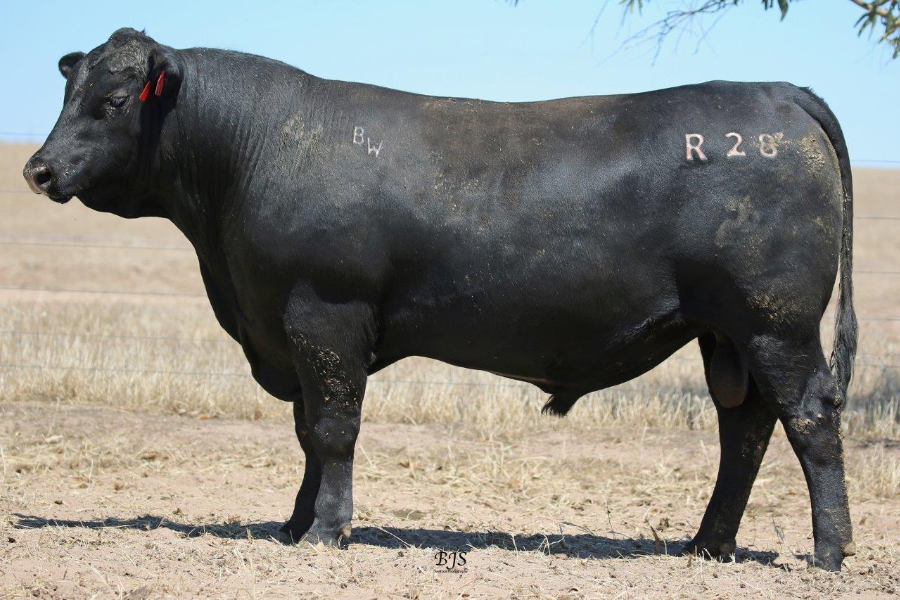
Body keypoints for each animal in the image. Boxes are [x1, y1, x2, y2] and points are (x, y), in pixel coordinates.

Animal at [24, 28, 857, 571]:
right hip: (726, 333)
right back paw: (707, 546)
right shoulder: (291, 328)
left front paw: (327, 532)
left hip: (776, 324)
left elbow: (333, 428)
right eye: (69, 89)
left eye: (115, 98)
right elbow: (306, 432)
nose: (38, 169)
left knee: (809, 417)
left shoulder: (324, 312)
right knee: (745, 430)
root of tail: (778, 91)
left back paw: (827, 552)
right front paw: (293, 525)